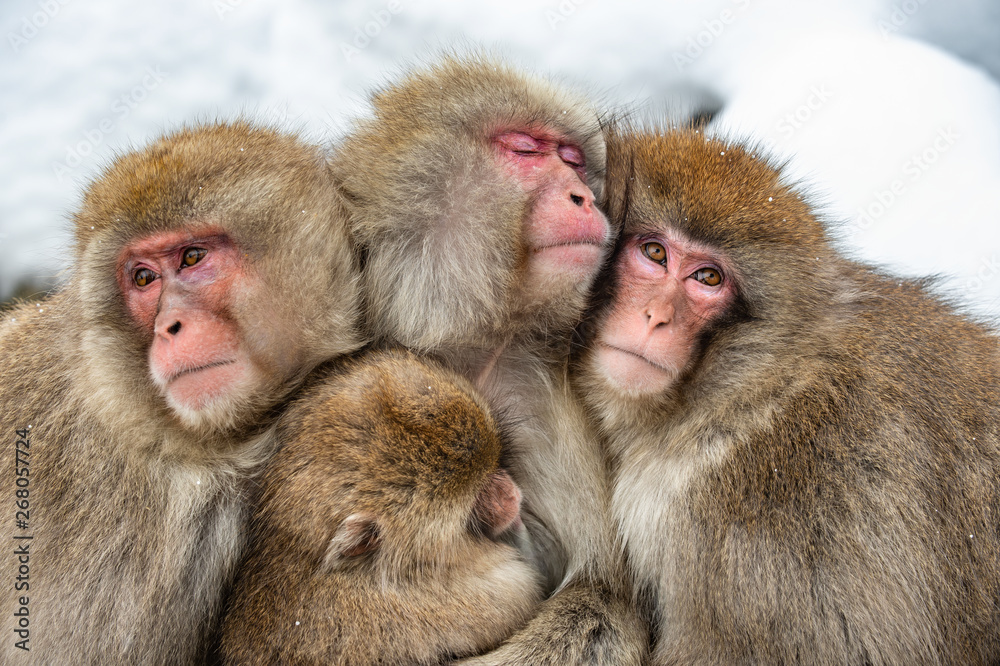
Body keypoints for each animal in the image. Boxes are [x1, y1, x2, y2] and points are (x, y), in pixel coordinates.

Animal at [330, 56, 648, 665]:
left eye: (572, 160)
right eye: (525, 149)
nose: (583, 198)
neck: (465, 334)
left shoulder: (536, 396)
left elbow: (601, 596)